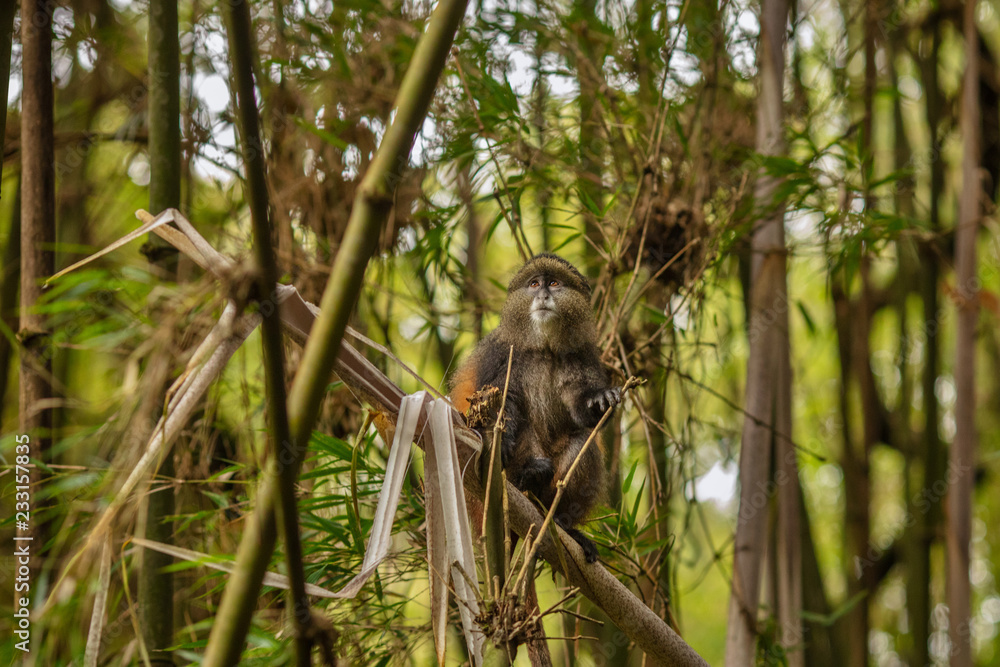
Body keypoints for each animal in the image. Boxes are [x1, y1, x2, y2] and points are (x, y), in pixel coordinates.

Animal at [451, 253, 621, 563]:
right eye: (533, 284)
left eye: (553, 283)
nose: (543, 295)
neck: (544, 349)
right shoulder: (501, 354)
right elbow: (502, 406)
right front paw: (502, 441)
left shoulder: (583, 355)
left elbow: (581, 410)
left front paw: (601, 400)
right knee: (523, 425)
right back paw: (526, 476)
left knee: (582, 440)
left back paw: (560, 523)